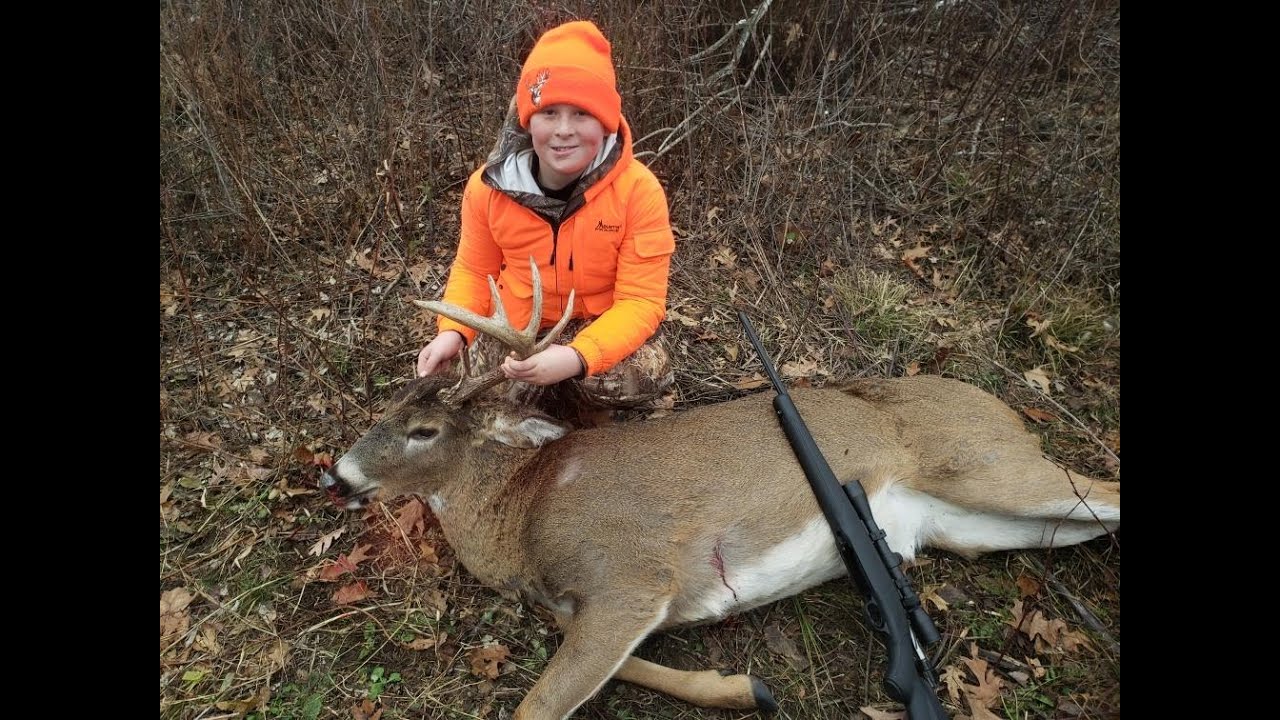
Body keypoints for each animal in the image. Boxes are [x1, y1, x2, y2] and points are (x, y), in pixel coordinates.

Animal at [321, 260, 1121, 719]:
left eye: (423, 429)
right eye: (385, 411)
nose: (336, 476)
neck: (522, 518)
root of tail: (1006, 411)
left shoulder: (630, 576)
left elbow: (538, 705)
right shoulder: (589, 608)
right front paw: (745, 689)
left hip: (987, 464)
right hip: (976, 525)